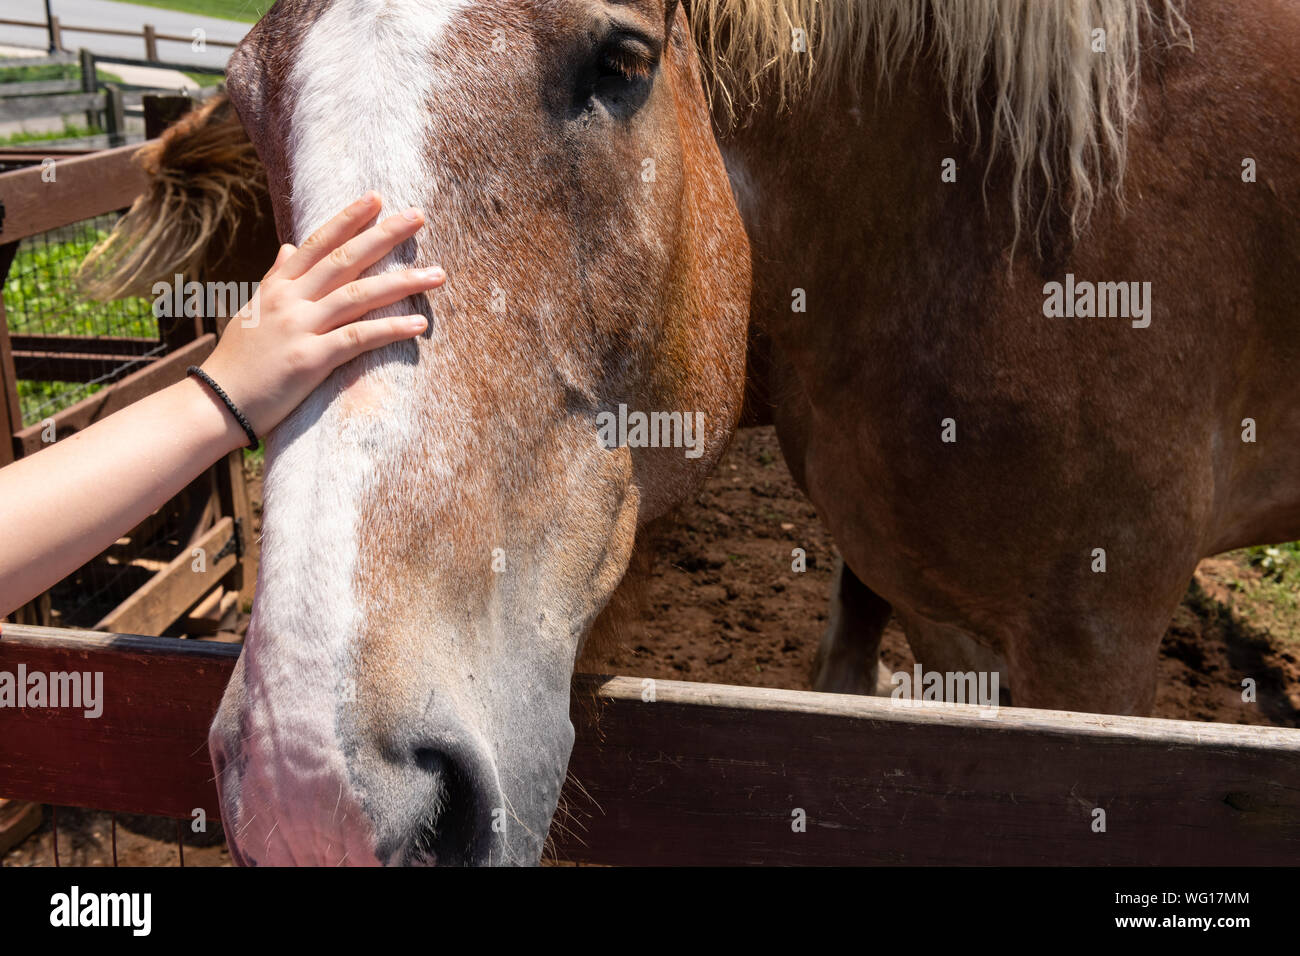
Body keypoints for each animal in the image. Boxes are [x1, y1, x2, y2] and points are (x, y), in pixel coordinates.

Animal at [81, 0, 1300, 865]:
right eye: (249, 95)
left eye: (622, 62)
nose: (314, 795)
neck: (994, 215)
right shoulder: (943, 619)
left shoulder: (1096, 656)